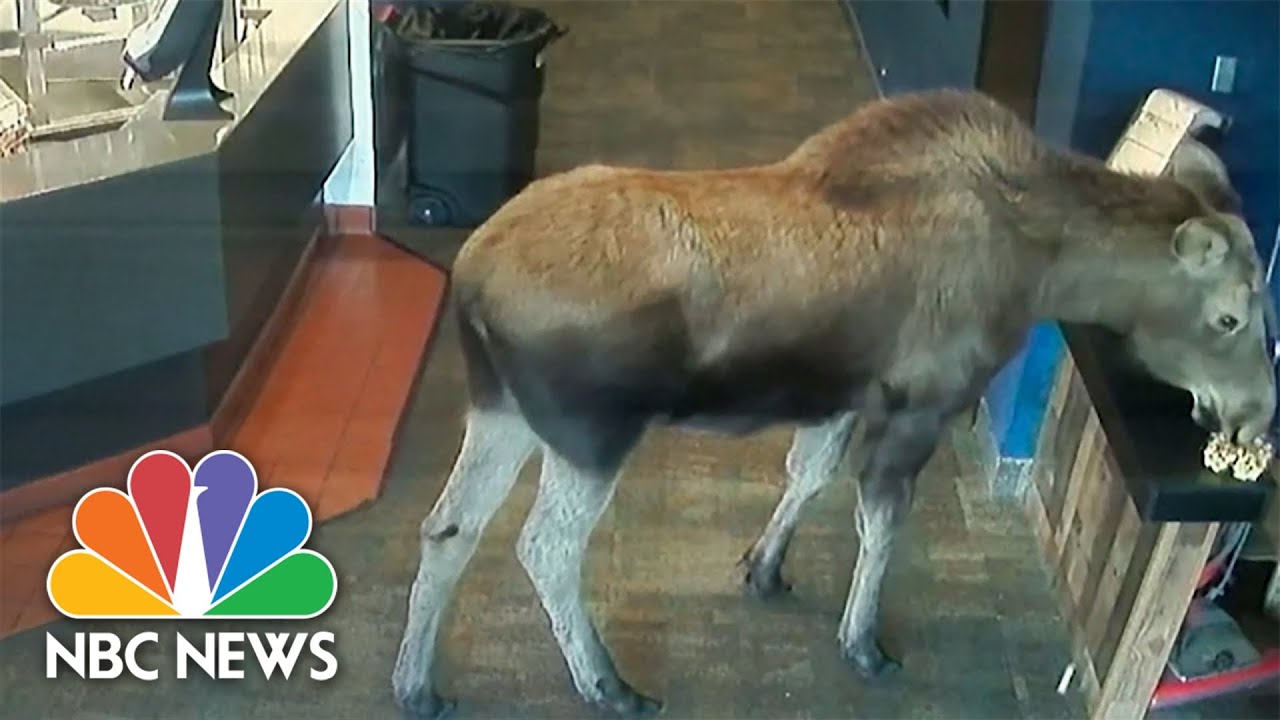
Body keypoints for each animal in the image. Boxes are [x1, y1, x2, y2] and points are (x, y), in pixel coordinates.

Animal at [390, 89, 1276, 719]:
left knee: (447, 526)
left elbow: (807, 473)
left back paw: (417, 685)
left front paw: (765, 566)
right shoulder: (922, 402)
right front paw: (863, 643)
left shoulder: (845, 394)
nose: (1254, 413)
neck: (1045, 268)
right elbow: (879, 523)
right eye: (1233, 315)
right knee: (544, 546)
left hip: (500, 407)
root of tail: (469, 279)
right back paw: (607, 684)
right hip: (591, 429)